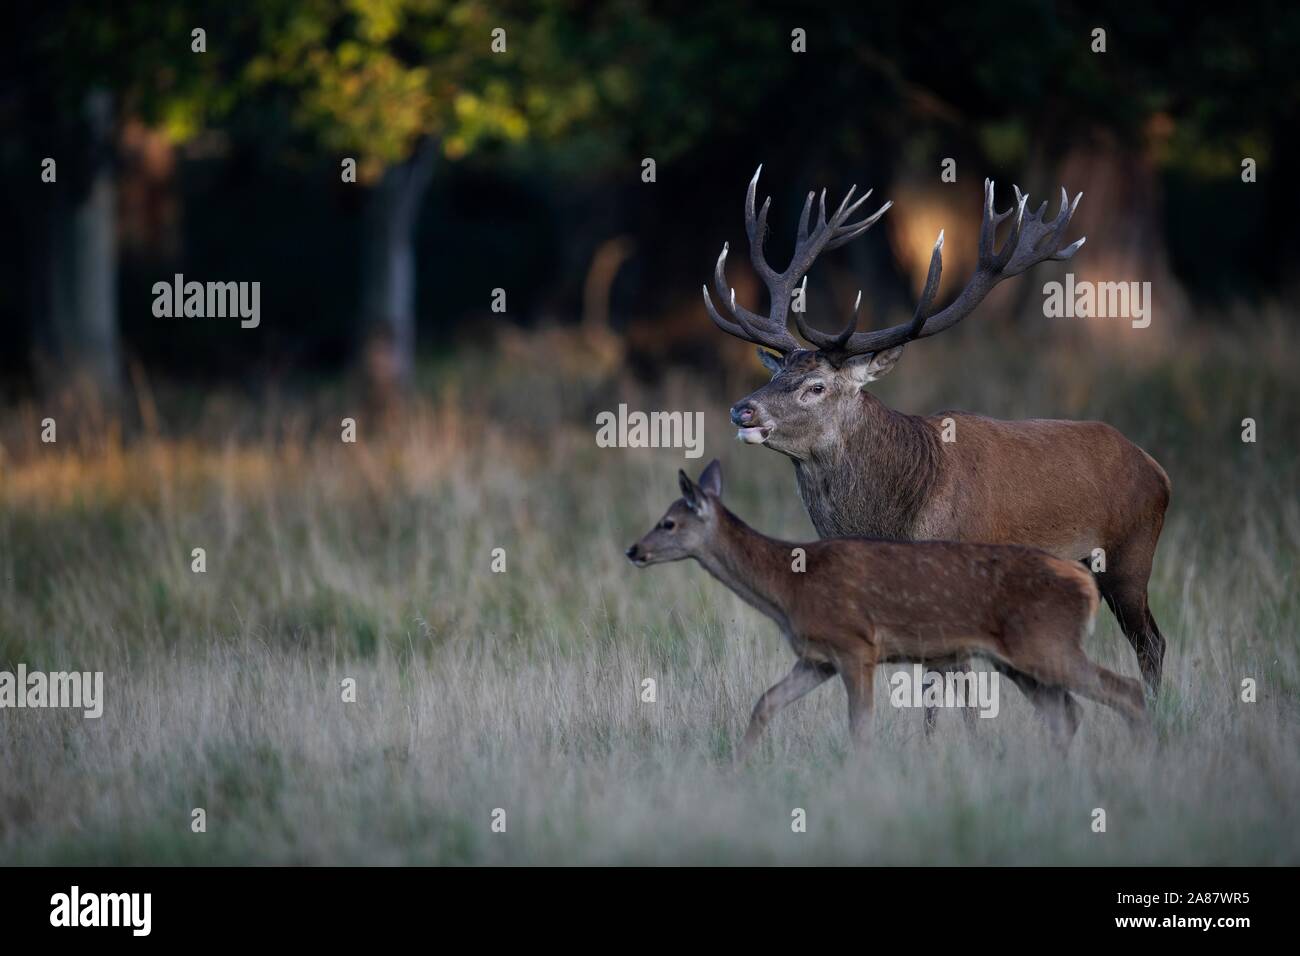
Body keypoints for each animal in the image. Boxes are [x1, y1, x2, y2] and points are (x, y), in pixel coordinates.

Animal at [625, 460, 1148, 758]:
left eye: (668, 522)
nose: (634, 550)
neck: (789, 590)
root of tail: (1085, 584)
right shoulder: (817, 657)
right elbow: (765, 703)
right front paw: (739, 765)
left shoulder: (856, 643)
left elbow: (860, 727)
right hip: (1019, 659)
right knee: (1069, 713)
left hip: (1047, 641)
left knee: (1127, 691)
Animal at [702, 168, 1171, 714]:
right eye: (776, 375)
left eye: (815, 386)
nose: (742, 409)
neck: (896, 517)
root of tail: (1156, 468)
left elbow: (949, 689)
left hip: (1128, 556)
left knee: (1150, 641)